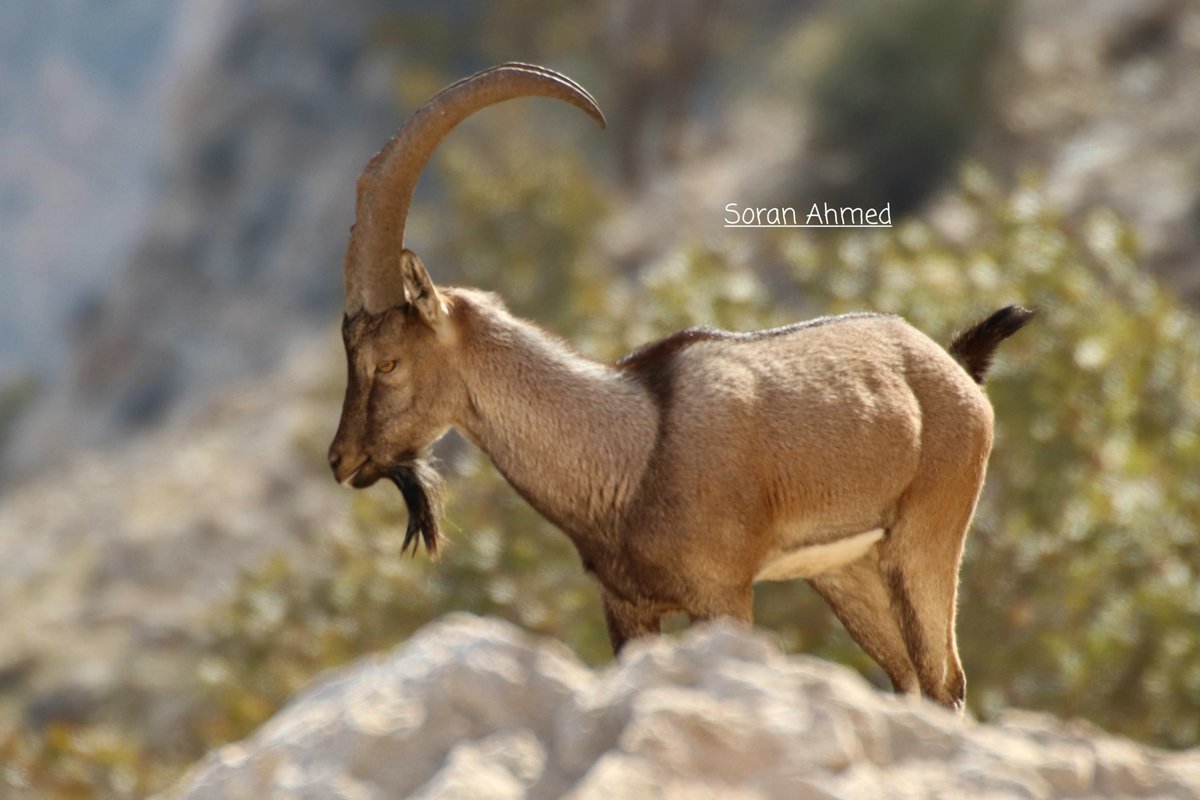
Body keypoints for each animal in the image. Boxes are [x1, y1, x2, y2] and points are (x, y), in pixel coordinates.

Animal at [327, 62, 1034, 710]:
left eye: (387, 362)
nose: (341, 459)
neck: (629, 449)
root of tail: (951, 367)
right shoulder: (627, 607)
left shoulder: (721, 593)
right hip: (846, 571)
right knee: (910, 680)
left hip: (927, 538)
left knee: (943, 679)